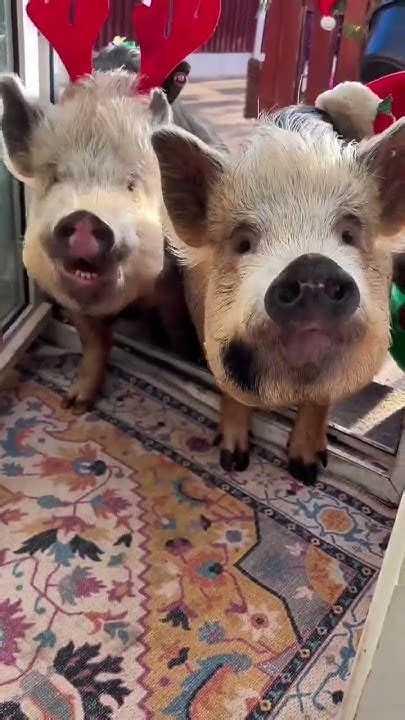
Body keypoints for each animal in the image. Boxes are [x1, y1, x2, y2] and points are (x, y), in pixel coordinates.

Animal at [151, 82, 405, 484]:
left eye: (349, 234)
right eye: (243, 243)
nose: (312, 266)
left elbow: (321, 397)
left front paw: (305, 471)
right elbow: (232, 389)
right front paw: (232, 461)